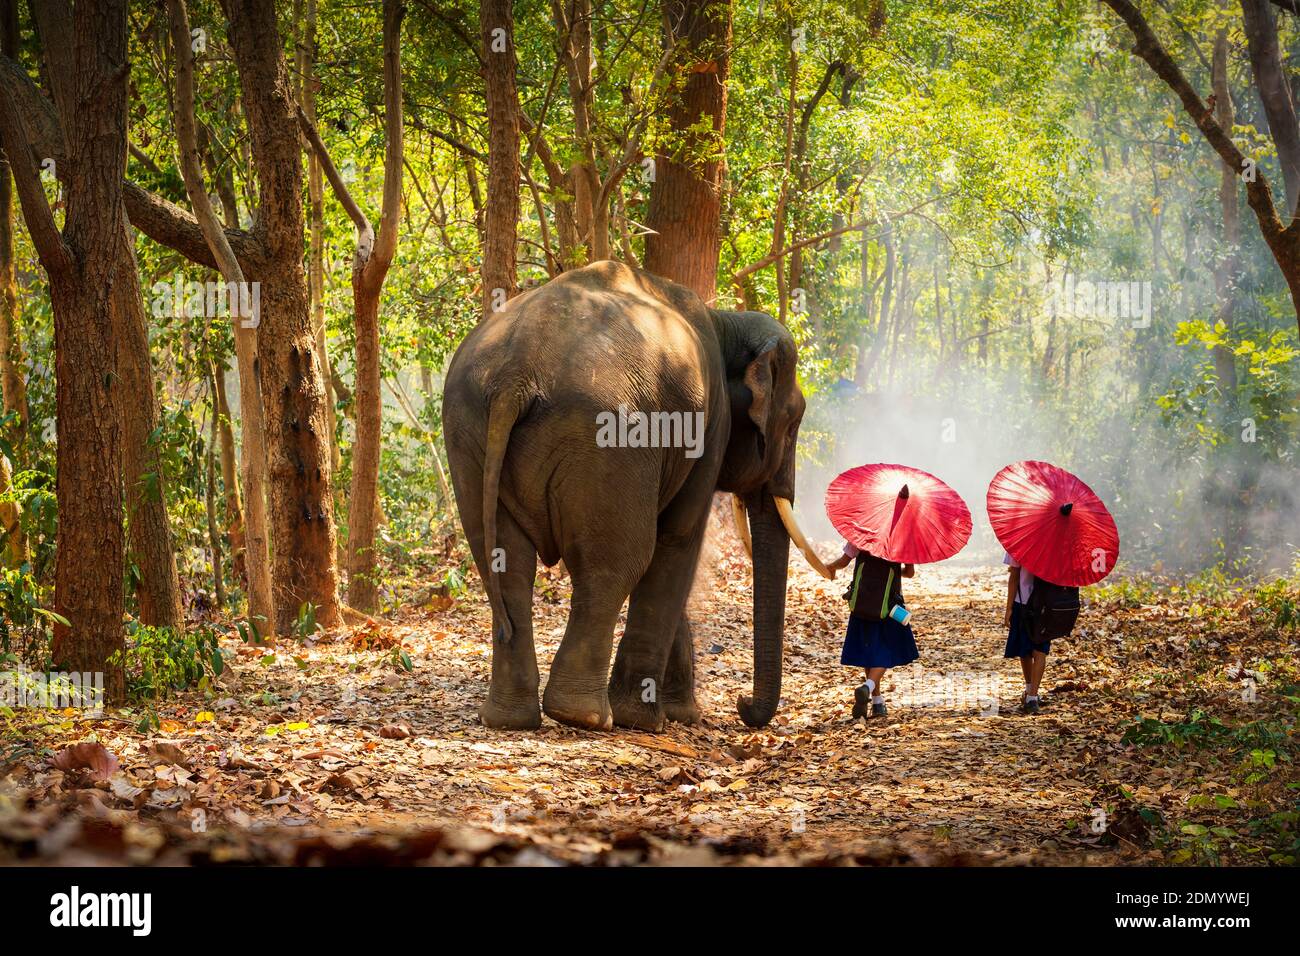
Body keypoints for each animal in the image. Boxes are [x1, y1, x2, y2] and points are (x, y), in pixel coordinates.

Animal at [443, 260, 830, 732]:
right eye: (792, 425)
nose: (741, 705)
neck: (725, 322)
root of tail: (515, 375)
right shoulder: (709, 428)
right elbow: (679, 541)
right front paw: (650, 720)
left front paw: (681, 714)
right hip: (607, 438)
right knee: (616, 562)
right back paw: (586, 716)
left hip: (467, 432)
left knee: (504, 560)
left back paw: (509, 719)